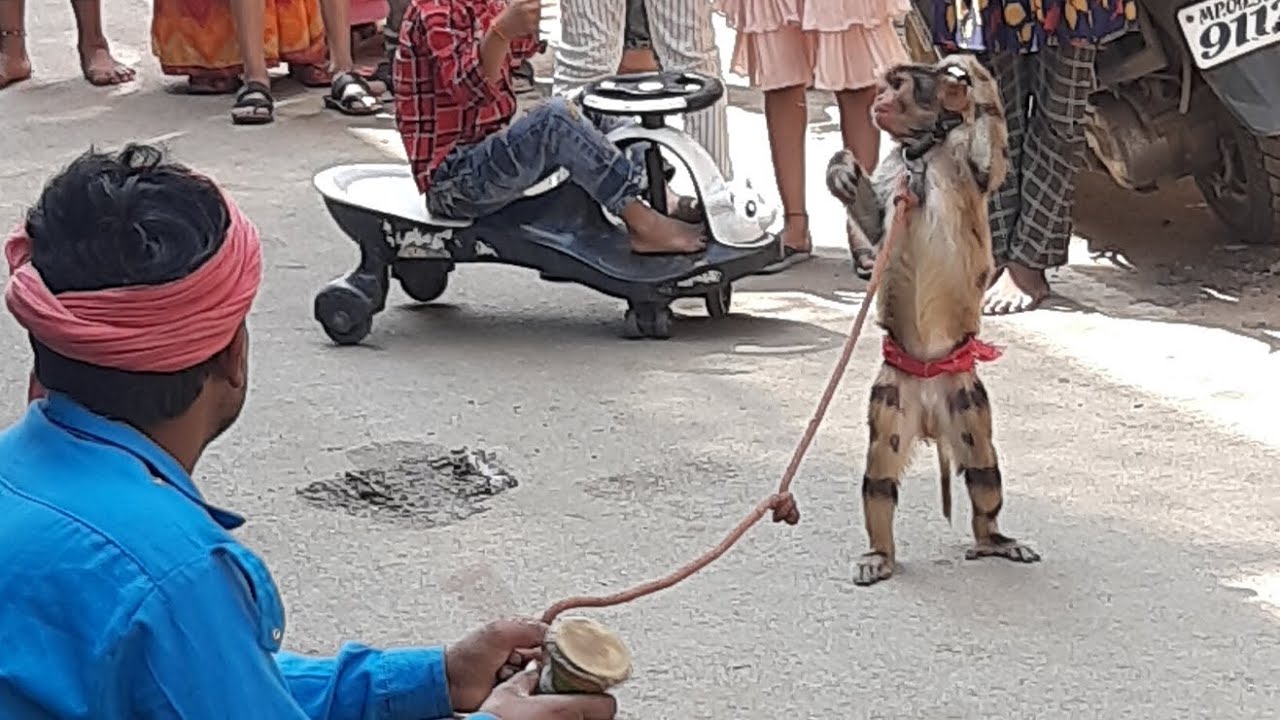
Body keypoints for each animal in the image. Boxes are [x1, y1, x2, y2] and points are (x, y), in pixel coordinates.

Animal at [825, 54, 1041, 586]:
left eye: (898, 85)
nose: (879, 100)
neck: (925, 153)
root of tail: (929, 417)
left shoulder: (965, 158)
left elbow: (991, 160)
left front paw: (972, 72)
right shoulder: (895, 169)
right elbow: (878, 226)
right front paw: (840, 170)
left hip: (963, 393)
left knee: (983, 468)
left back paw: (992, 538)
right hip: (894, 391)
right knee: (879, 477)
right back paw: (880, 552)